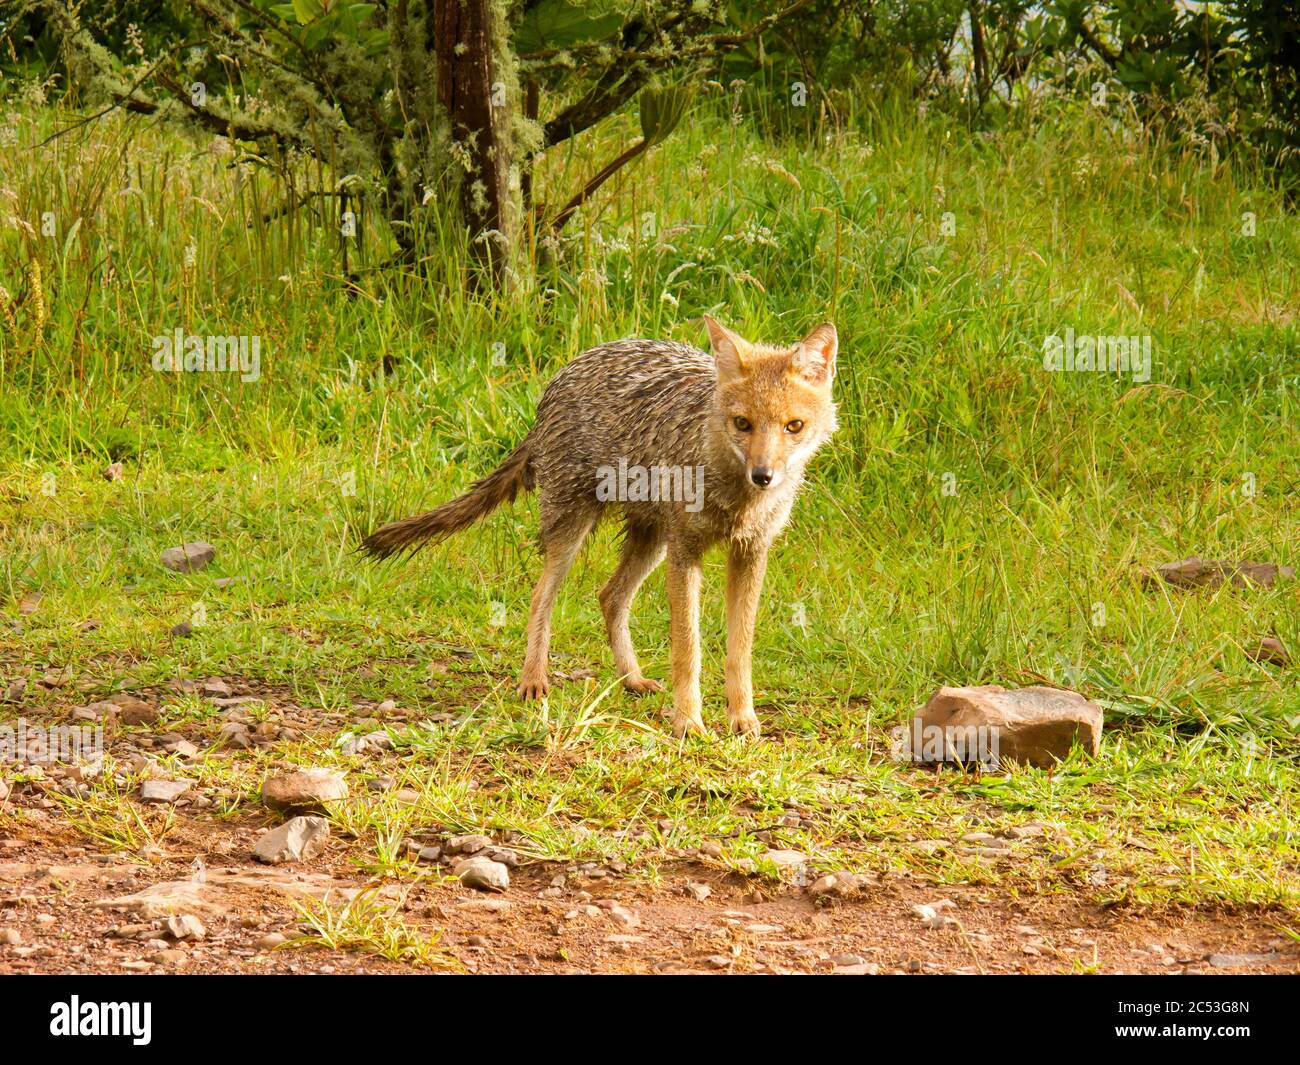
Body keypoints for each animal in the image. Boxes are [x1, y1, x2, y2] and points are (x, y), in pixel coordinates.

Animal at [362, 317, 838, 738]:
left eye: (793, 426)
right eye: (742, 424)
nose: (764, 475)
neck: (737, 497)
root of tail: (569, 368)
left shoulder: (750, 552)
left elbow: (740, 651)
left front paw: (743, 719)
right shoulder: (686, 552)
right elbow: (688, 649)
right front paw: (688, 722)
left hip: (651, 541)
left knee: (609, 597)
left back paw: (631, 679)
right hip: (575, 530)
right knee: (541, 595)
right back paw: (534, 679)